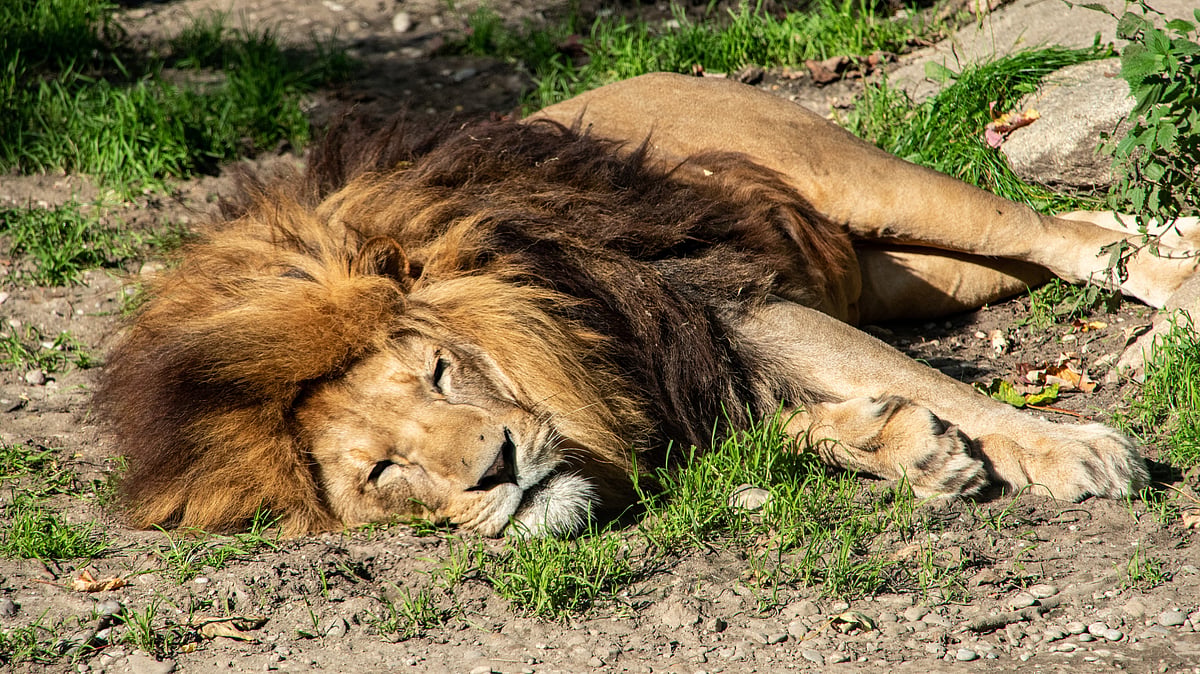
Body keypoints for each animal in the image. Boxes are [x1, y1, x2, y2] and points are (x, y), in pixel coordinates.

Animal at [97, 73, 1199, 538]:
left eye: (442, 372)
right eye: (382, 470)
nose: (497, 467)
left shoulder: (727, 302)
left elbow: (938, 382)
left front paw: (1073, 452)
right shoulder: (700, 375)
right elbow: (794, 422)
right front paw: (904, 448)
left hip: (871, 186)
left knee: (1056, 231)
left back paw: (1175, 312)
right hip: (903, 271)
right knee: (1069, 238)